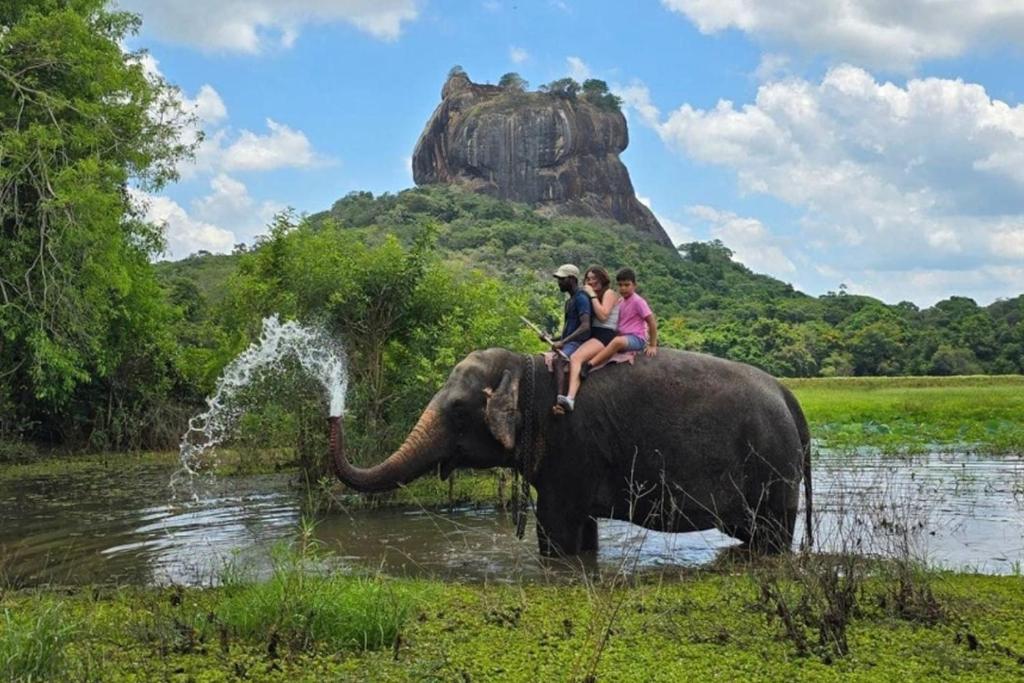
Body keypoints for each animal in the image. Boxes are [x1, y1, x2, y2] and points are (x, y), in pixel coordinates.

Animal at [329, 347, 812, 556]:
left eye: (458, 410)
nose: (333, 413)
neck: (525, 365)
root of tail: (789, 396)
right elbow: (581, 531)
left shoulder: (571, 447)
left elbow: (555, 528)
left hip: (773, 467)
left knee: (771, 535)